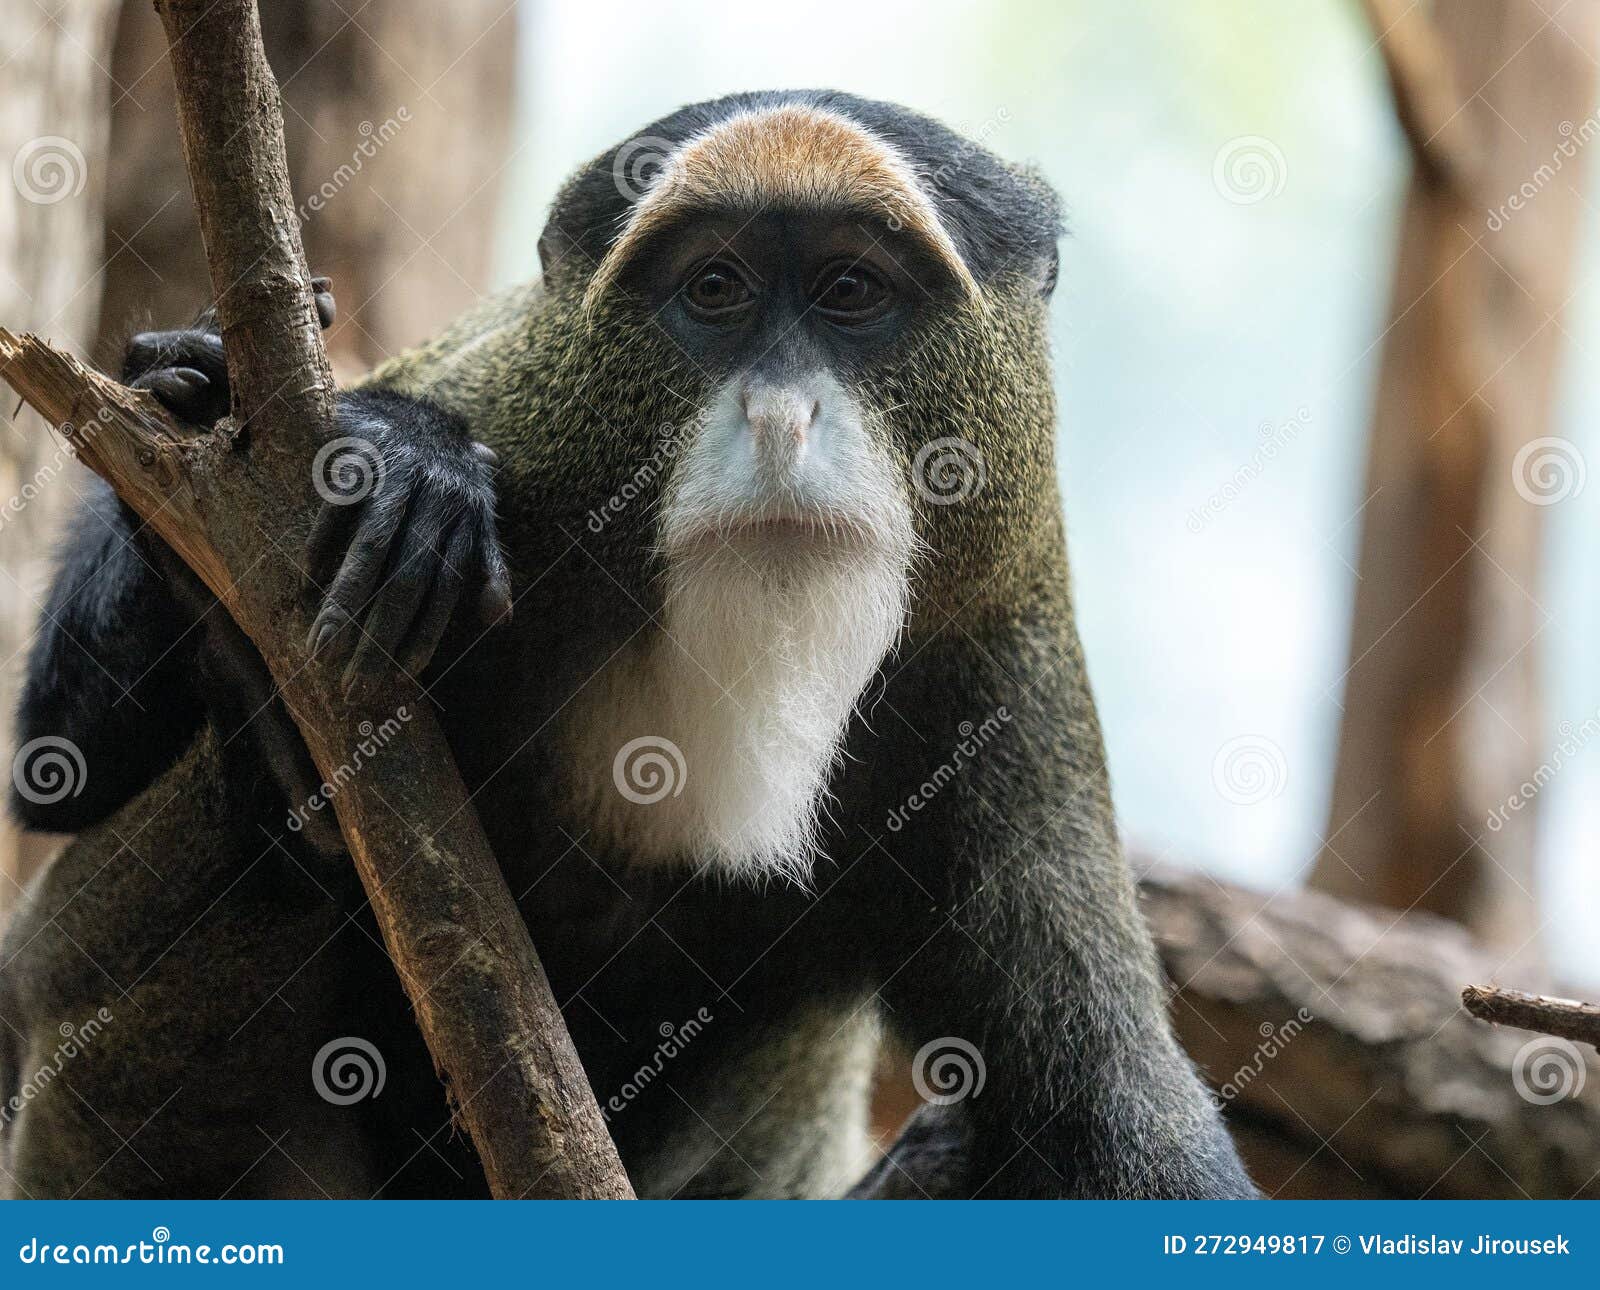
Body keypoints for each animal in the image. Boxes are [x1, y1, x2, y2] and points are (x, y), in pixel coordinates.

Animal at [0, 90, 1256, 1200]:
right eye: (716, 288)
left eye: (852, 289)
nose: (780, 416)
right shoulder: (498, 408)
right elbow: (61, 760)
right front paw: (392, 455)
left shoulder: (999, 660)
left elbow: (1111, 1118)